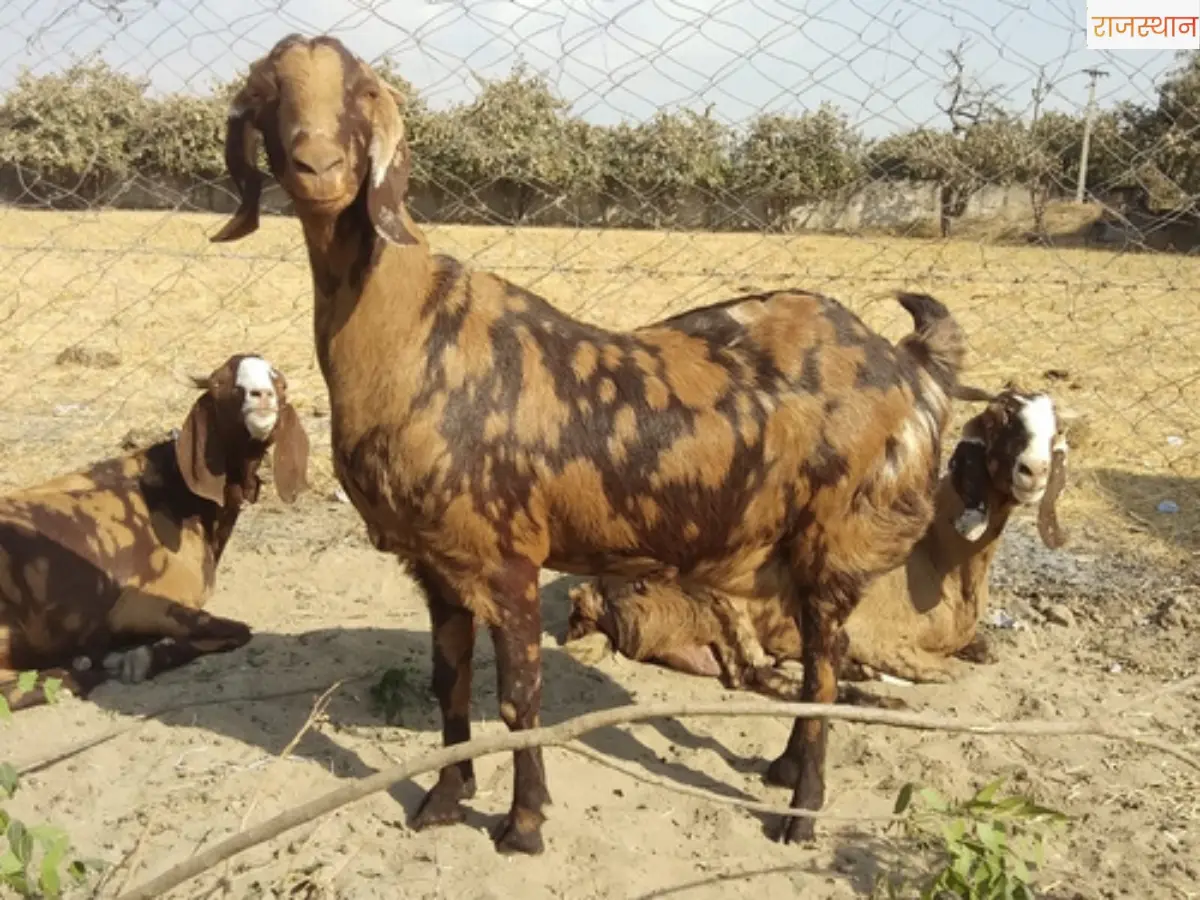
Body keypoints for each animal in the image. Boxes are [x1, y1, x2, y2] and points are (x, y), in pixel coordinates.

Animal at [0, 353, 310, 711]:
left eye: (281, 384)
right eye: (219, 382)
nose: (262, 396)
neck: (176, 491)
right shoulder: (137, 604)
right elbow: (238, 630)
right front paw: (137, 659)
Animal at [209, 33, 974, 851]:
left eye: (357, 95)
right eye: (269, 96)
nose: (318, 166)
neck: (415, 333)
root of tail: (903, 360)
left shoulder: (508, 556)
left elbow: (518, 702)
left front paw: (523, 825)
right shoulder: (435, 562)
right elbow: (449, 687)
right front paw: (444, 800)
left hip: (836, 538)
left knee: (825, 673)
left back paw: (801, 814)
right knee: (813, 671)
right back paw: (780, 770)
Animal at [564, 386, 1070, 696]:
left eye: (1056, 433)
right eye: (1000, 422)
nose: (1034, 472)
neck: (937, 560)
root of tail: (593, 592)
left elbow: (984, 649)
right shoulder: (880, 638)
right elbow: (939, 672)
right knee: (758, 674)